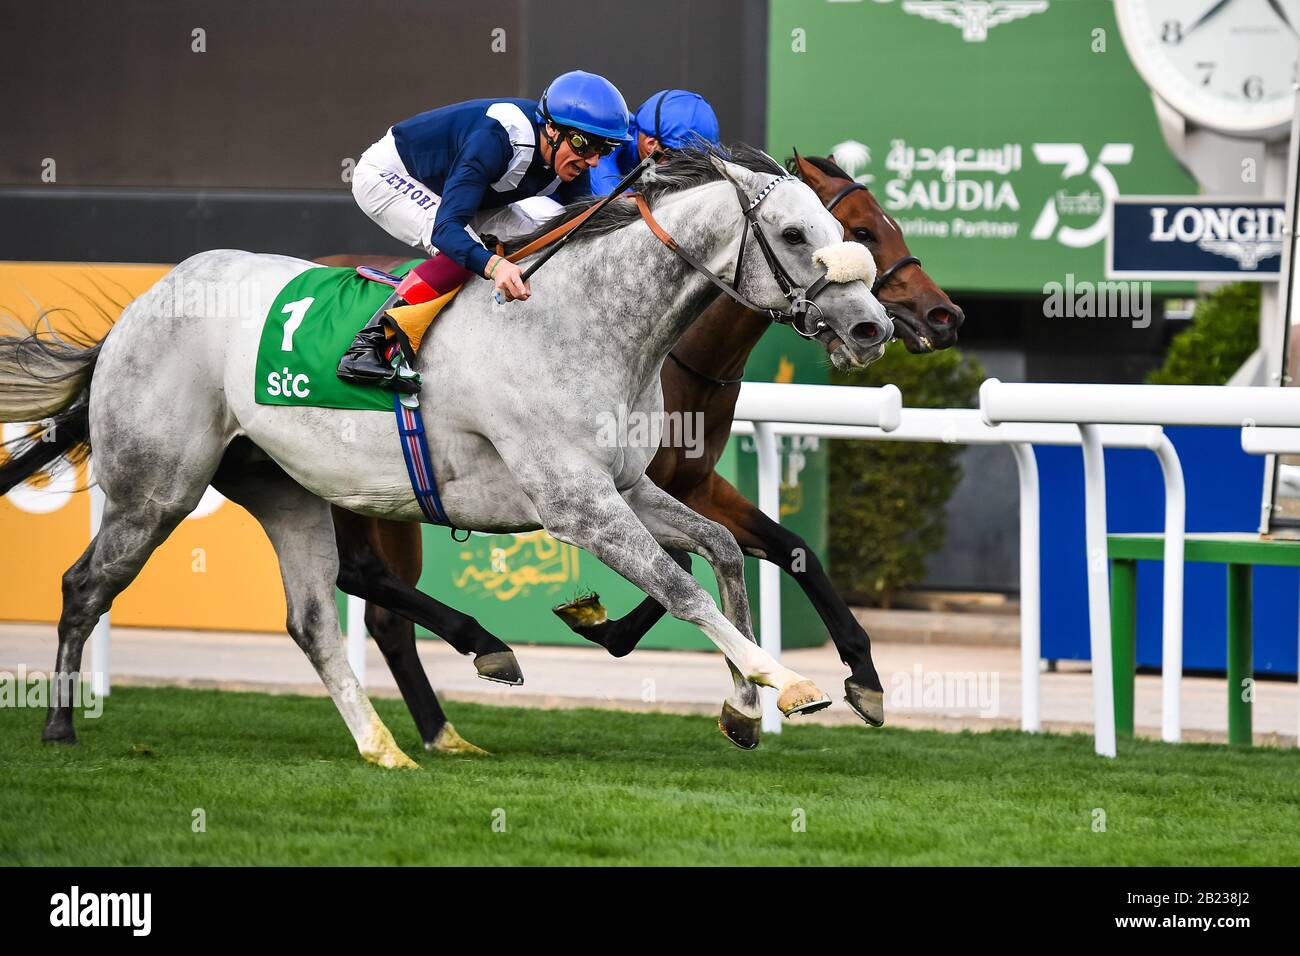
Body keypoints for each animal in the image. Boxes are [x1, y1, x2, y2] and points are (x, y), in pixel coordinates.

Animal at [0, 145, 894, 767]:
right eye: (795, 234)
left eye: (847, 233)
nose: (871, 326)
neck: (583, 322)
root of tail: (140, 305)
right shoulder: (575, 501)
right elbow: (680, 586)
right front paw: (794, 683)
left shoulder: (627, 484)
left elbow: (721, 552)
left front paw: (746, 705)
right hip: (158, 487)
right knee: (86, 585)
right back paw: (60, 724)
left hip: (284, 488)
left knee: (315, 619)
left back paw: (386, 745)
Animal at [318, 152, 963, 750]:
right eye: (857, 230)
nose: (940, 315)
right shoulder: (611, 487)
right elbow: (681, 571)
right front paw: (608, 629)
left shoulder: (691, 482)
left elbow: (783, 547)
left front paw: (862, 679)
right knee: (360, 573)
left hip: (385, 495)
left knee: (380, 607)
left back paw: (444, 723)